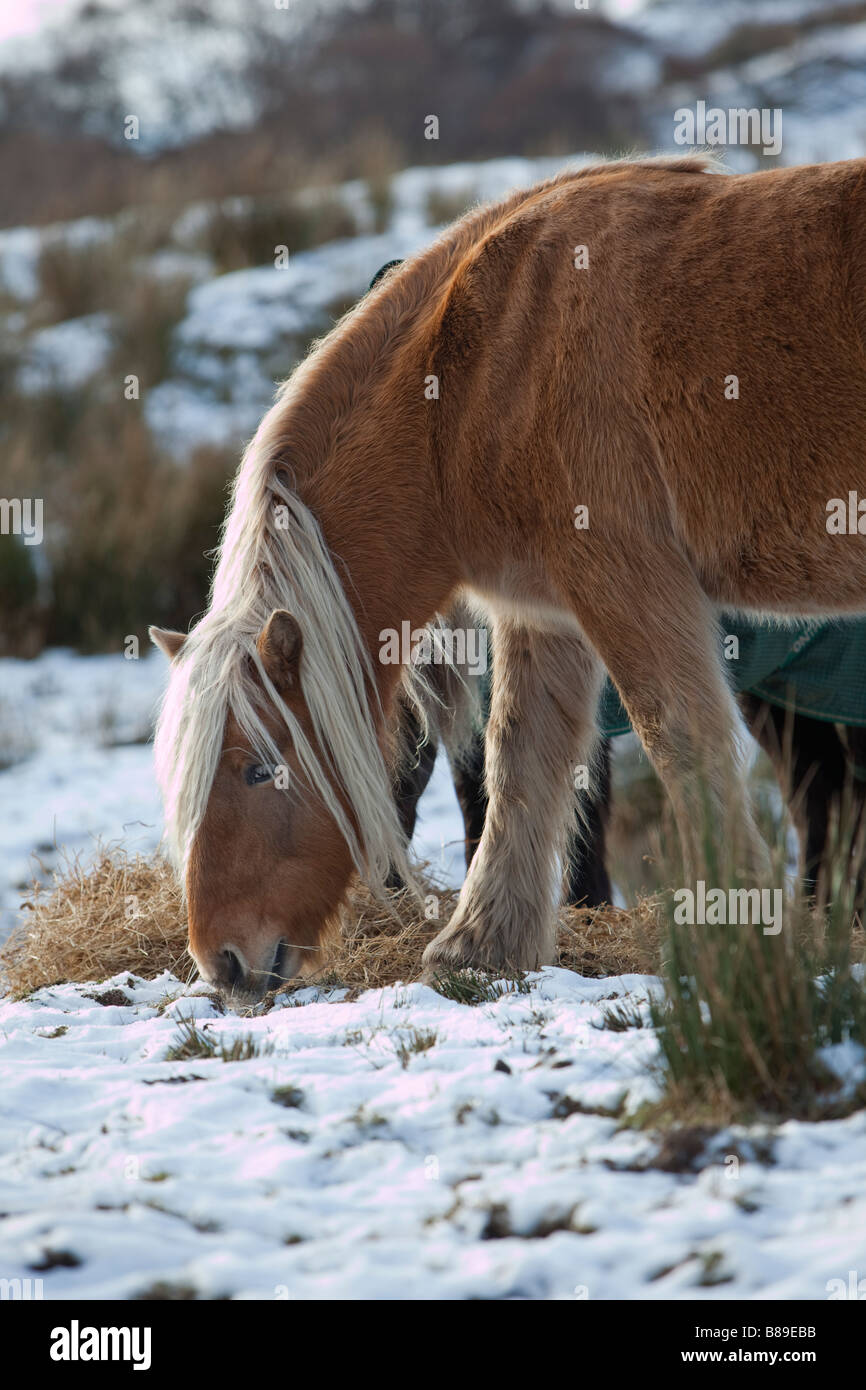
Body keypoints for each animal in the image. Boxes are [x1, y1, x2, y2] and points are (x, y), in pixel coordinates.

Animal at [150, 154, 866, 1003]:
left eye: (260, 770)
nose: (221, 962)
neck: (474, 373)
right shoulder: (547, 612)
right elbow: (520, 759)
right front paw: (482, 946)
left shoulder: (628, 582)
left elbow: (681, 745)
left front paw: (749, 937)